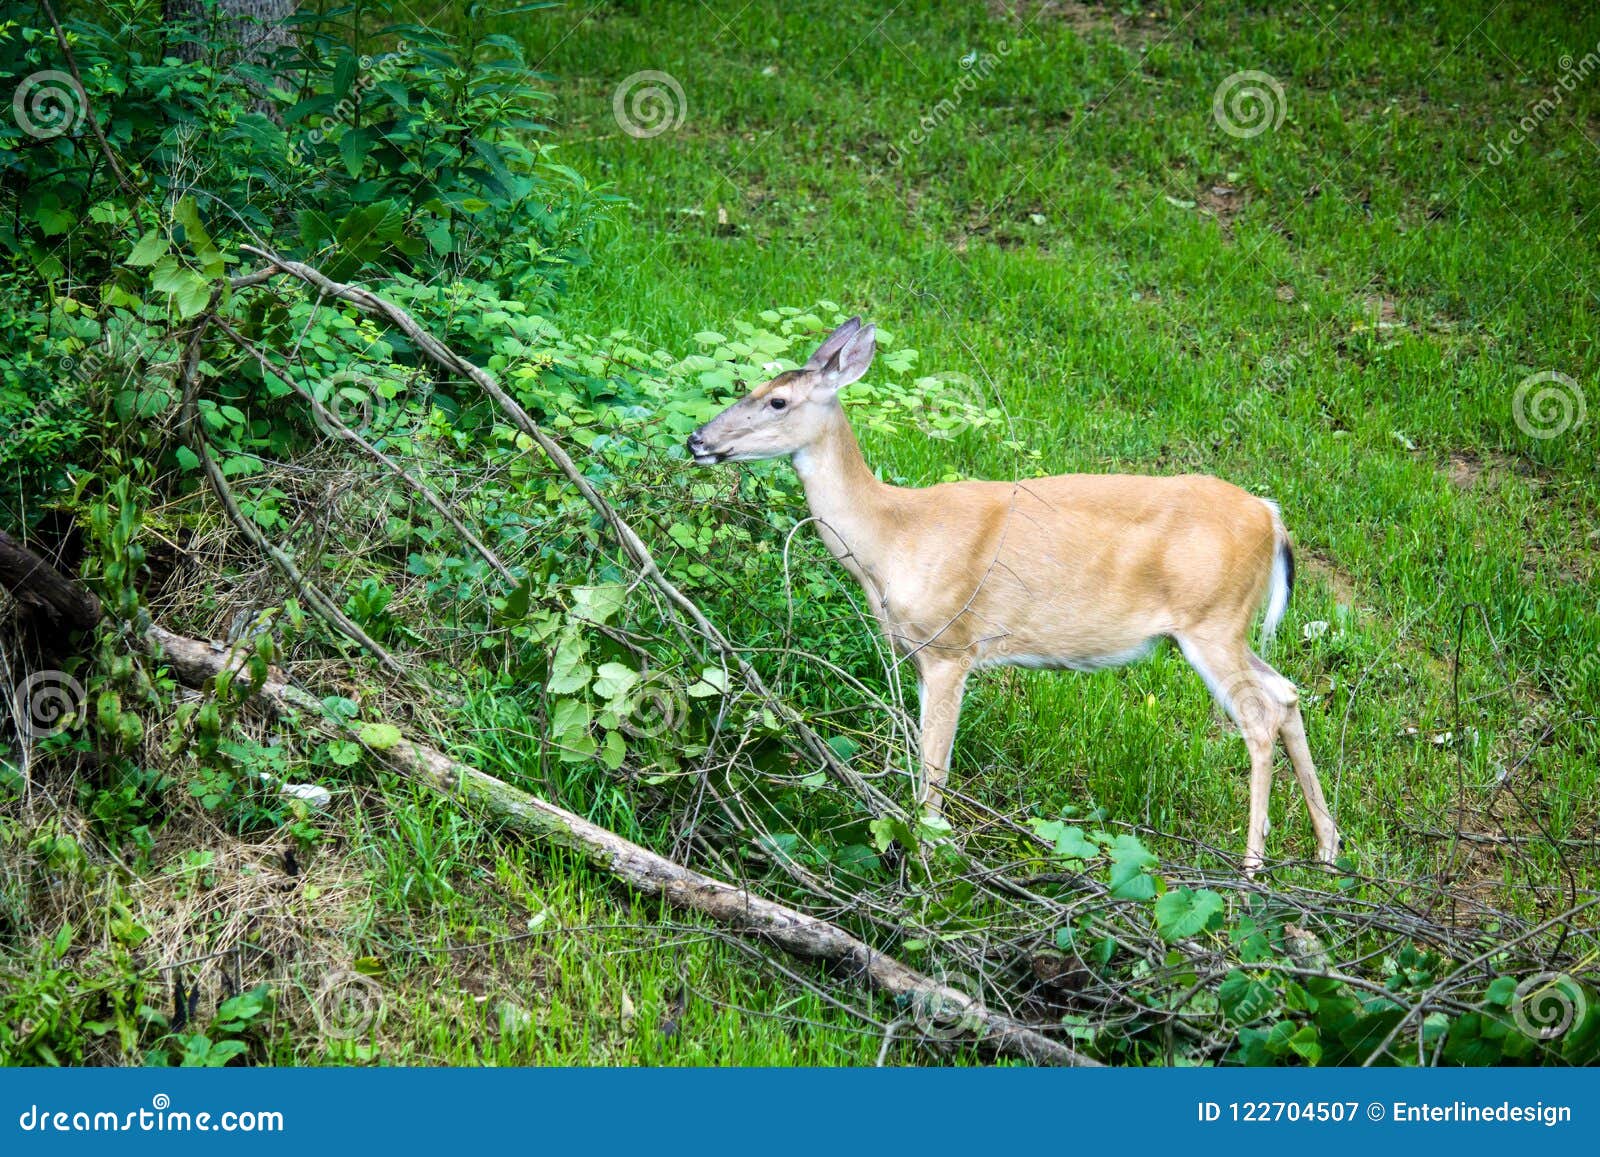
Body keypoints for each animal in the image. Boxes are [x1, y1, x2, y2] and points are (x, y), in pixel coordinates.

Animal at [686, 317, 1338, 874]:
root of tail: (1271, 517)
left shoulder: (950, 644)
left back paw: (1251, 870)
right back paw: (1328, 852)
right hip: (1225, 625)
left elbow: (935, 767)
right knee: (1286, 694)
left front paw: (927, 865)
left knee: (1259, 717)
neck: (892, 538)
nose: (697, 440)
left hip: (1211, 620)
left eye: (778, 401)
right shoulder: (916, 653)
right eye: (751, 386)